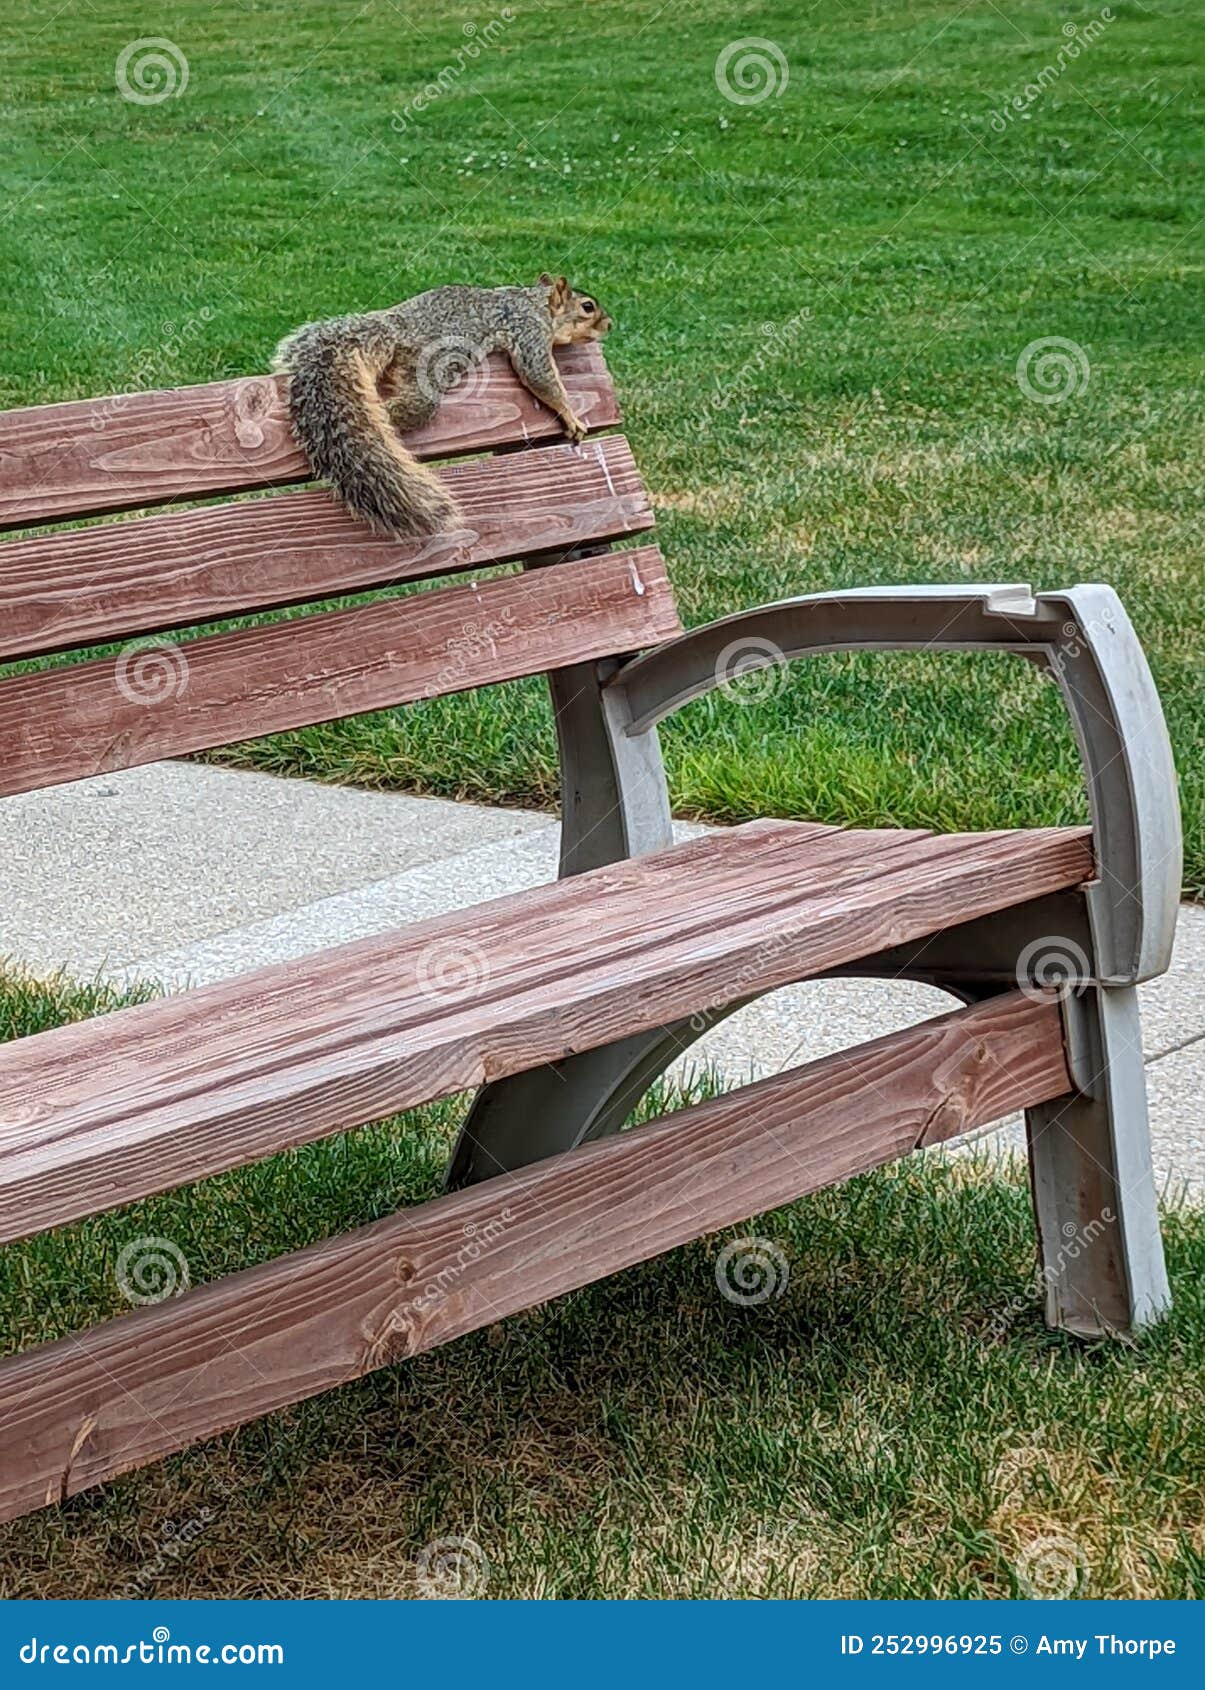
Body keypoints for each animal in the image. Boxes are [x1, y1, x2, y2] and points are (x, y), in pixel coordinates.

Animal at [273, 275, 612, 539]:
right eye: (587, 307)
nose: (610, 324)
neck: (535, 302)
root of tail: (391, 328)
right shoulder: (529, 332)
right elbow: (539, 375)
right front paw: (571, 416)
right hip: (424, 373)